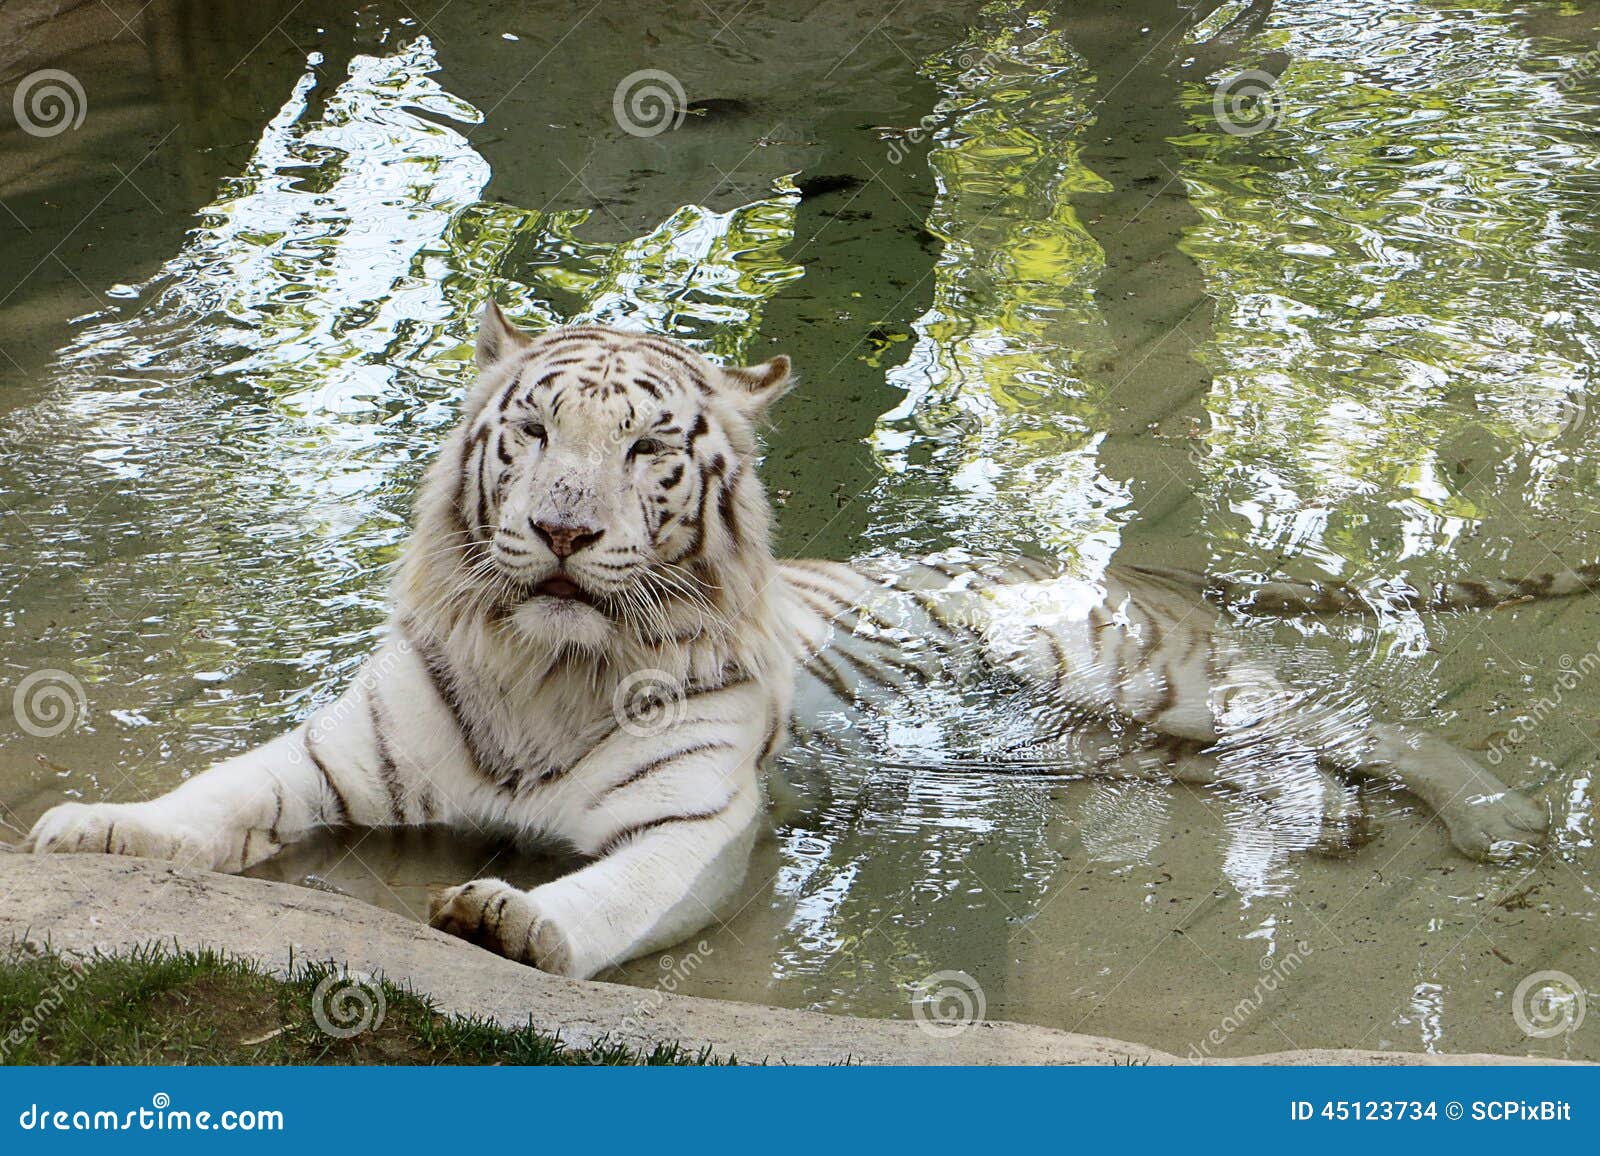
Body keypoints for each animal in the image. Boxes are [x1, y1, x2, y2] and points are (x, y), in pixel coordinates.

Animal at [24, 304, 1556, 978]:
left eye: (646, 448)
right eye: (532, 431)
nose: (565, 532)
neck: (545, 669)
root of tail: (1111, 562)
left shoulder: (692, 825)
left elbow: (606, 900)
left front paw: (517, 920)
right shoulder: (339, 752)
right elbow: (216, 792)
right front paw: (96, 833)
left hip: (1150, 681)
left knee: (1354, 720)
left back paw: (1500, 818)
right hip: (1123, 743)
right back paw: (1340, 830)